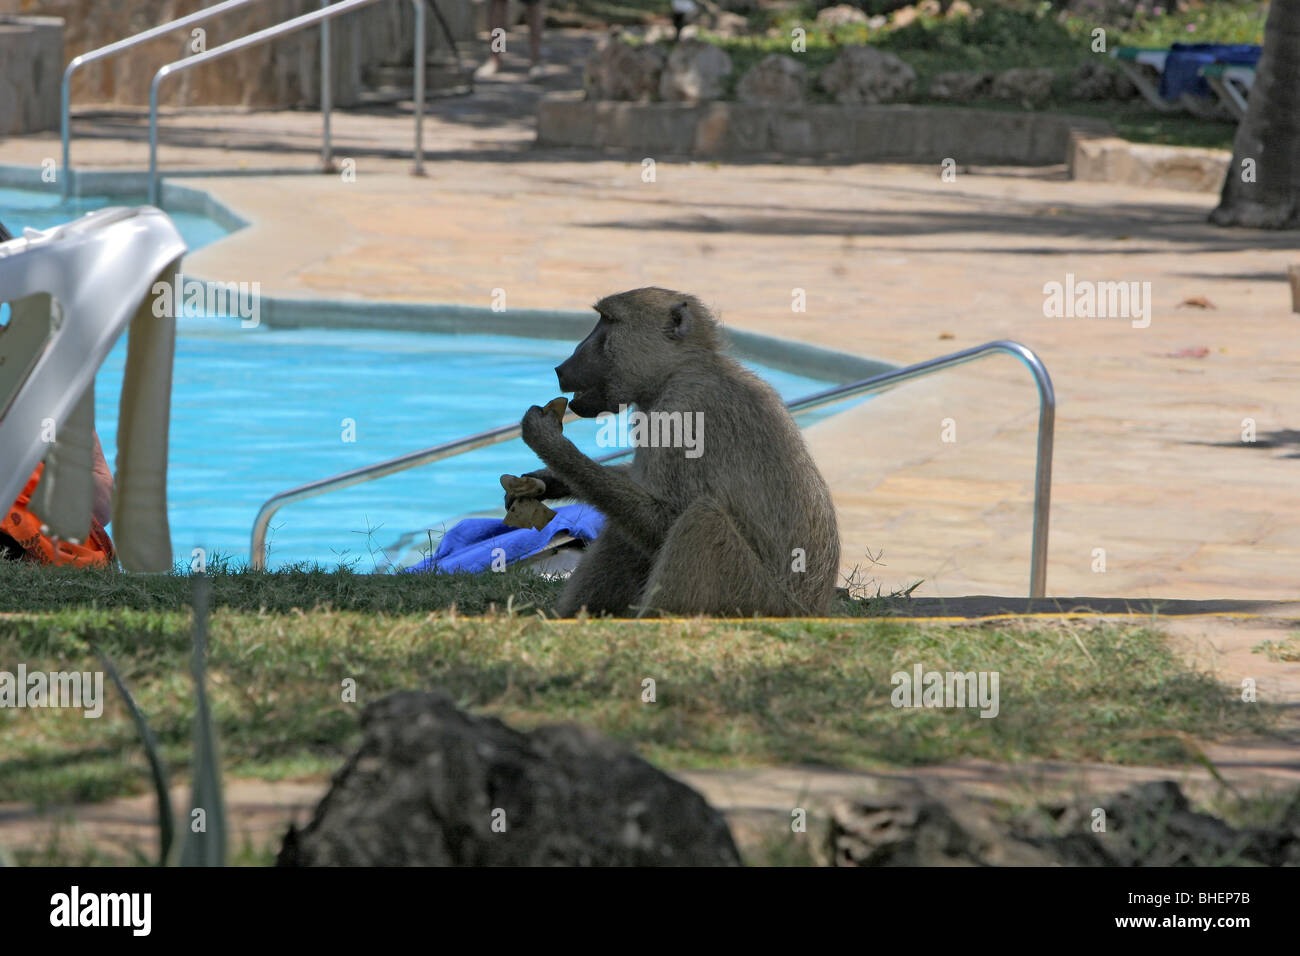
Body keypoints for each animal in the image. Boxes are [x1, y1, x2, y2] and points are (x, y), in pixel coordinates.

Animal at [505, 287, 840, 618]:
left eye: (608, 322)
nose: (561, 368)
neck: (679, 371)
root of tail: (812, 611)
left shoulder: (681, 412)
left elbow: (665, 521)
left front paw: (549, 443)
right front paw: (547, 481)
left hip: (755, 599)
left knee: (701, 520)